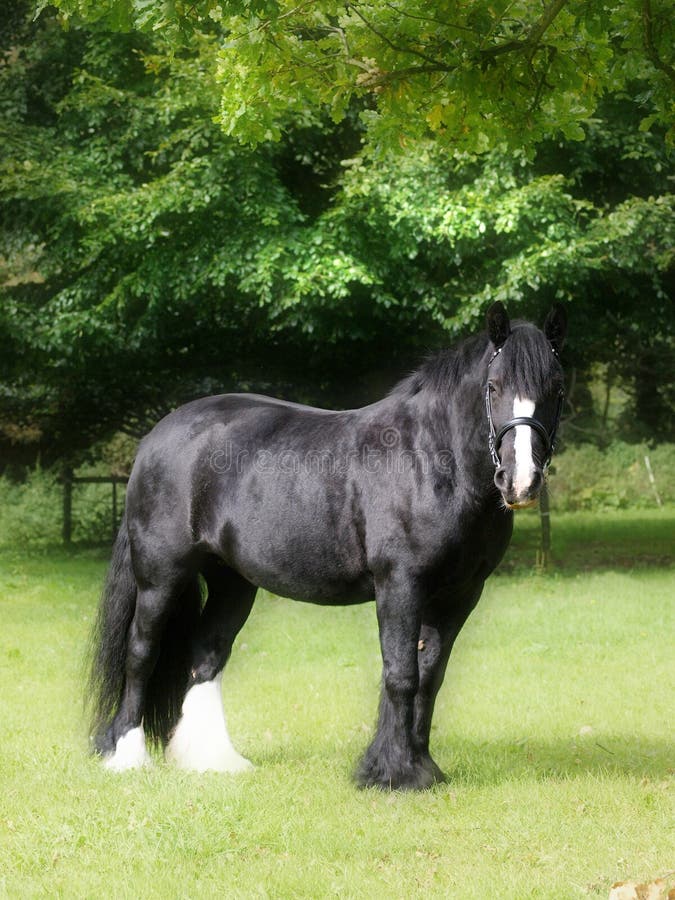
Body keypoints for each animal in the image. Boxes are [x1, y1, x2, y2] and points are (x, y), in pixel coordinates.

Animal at [89, 300, 567, 790]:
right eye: (493, 386)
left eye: (557, 387)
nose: (521, 481)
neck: (430, 460)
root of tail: (155, 438)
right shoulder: (400, 585)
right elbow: (402, 674)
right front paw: (393, 773)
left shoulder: (459, 595)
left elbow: (430, 678)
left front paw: (421, 768)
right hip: (161, 576)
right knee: (141, 652)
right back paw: (127, 754)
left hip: (232, 582)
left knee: (207, 653)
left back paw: (213, 759)